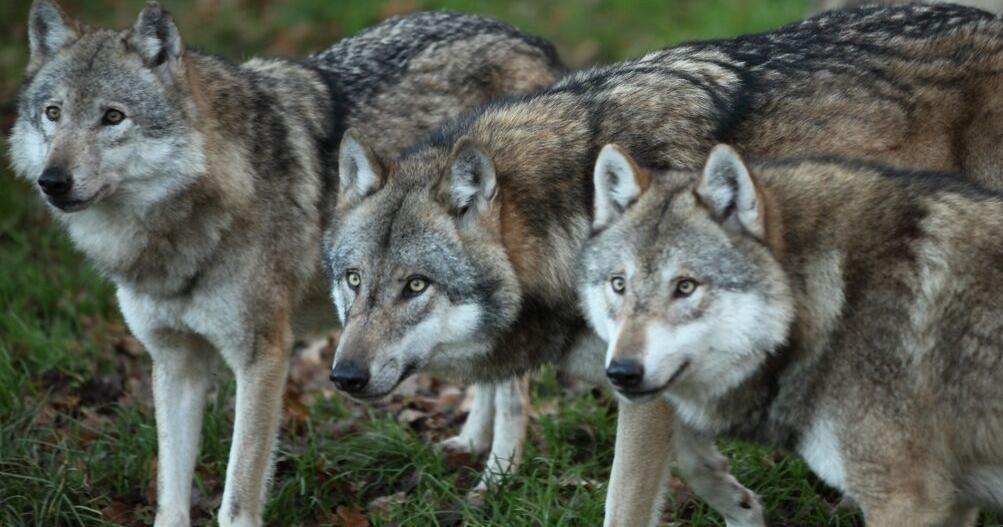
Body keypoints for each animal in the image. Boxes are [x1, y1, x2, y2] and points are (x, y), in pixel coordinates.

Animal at [8, 1, 561, 525]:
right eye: (53, 113)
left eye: (113, 117)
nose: (52, 180)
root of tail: (533, 40)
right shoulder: (174, 361)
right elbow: (171, 496)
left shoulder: (264, 356)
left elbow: (237, 495)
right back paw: (469, 443)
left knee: (515, 395)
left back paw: (495, 482)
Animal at [579, 143, 1003, 525]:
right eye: (619, 284)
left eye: (685, 286)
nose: (621, 372)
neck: (837, 298)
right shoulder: (954, 503)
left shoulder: (906, 501)